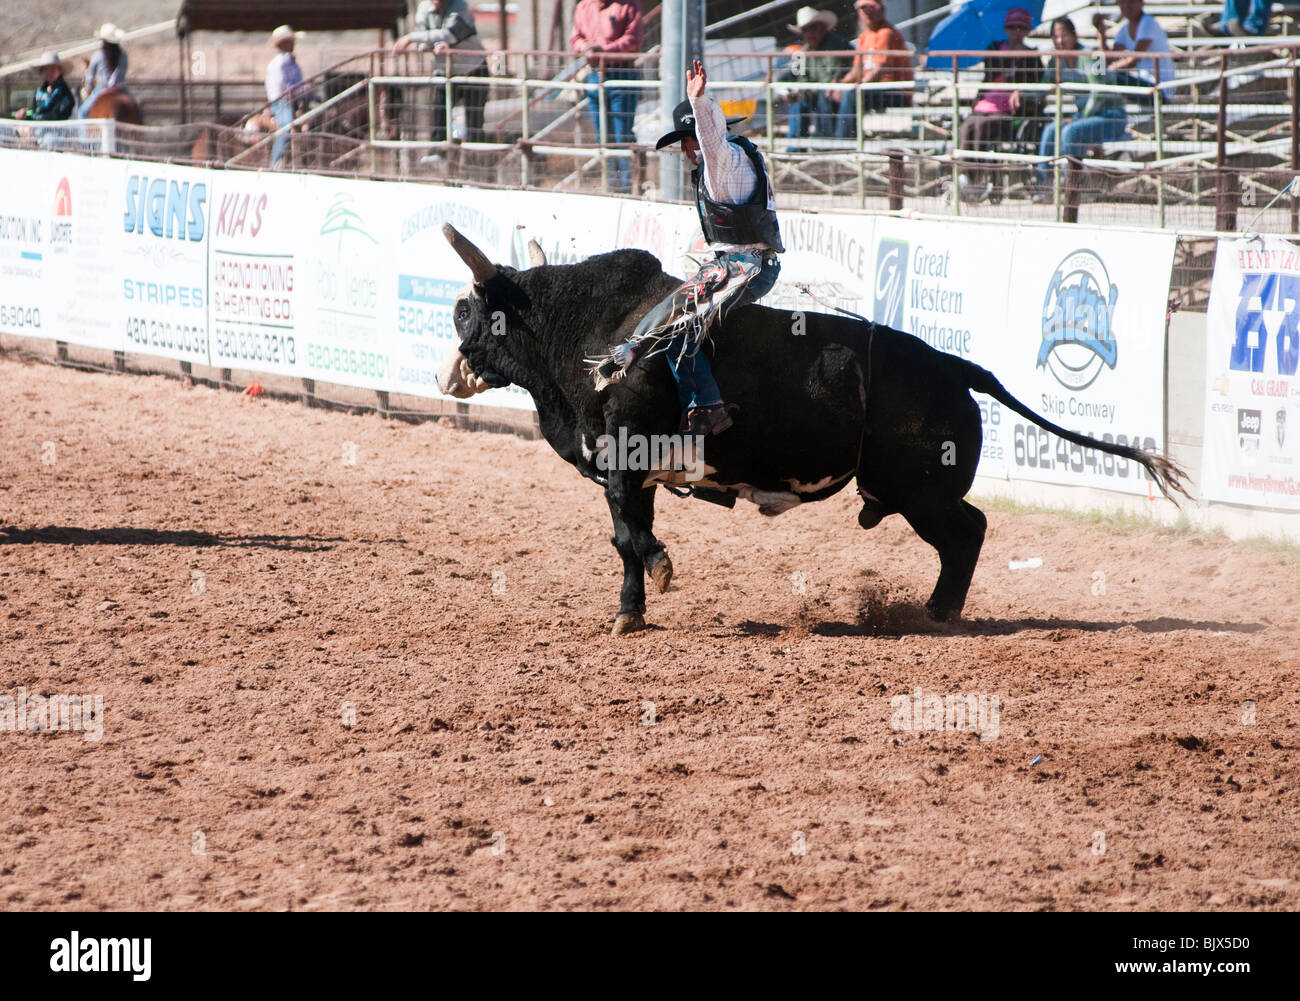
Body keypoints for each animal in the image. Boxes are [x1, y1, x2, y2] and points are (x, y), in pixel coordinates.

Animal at [435, 224, 1189, 633]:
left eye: (465, 313)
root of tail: (953, 364)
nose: (447, 376)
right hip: (909, 490)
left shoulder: (623, 462)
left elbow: (628, 539)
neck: (593, 334)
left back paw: (937, 613)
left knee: (968, 532)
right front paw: (635, 606)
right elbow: (629, 537)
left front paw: (654, 579)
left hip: (918, 489)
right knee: (966, 533)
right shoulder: (632, 475)